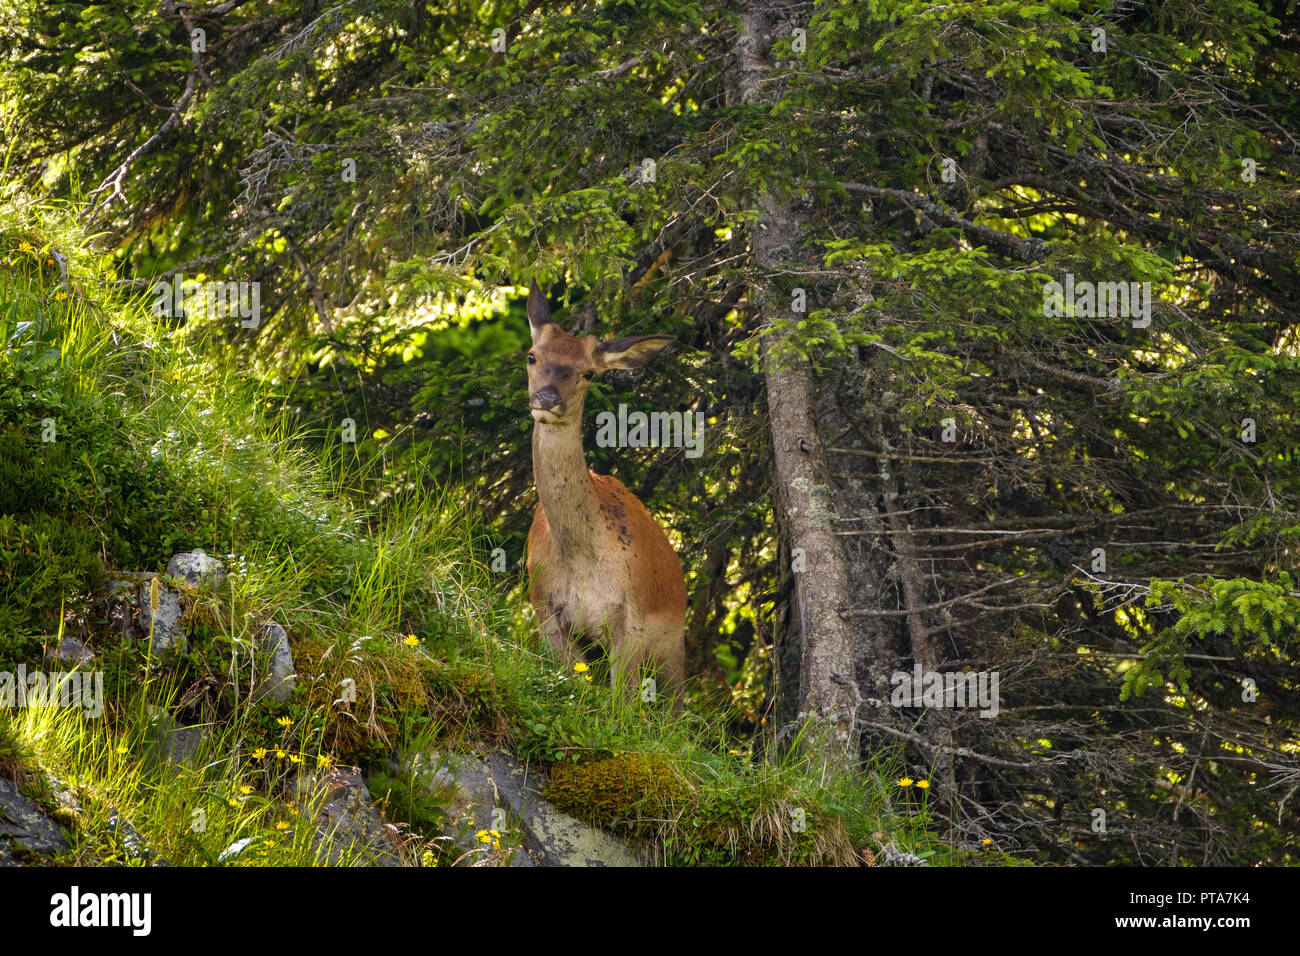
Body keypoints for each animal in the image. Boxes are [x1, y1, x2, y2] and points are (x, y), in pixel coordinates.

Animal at [523, 279, 687, 703]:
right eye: (532, 356)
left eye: (588, 373)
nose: (547, 398)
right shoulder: (543, 606)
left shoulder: (631, 616)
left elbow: (621, 702)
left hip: (672, 643)